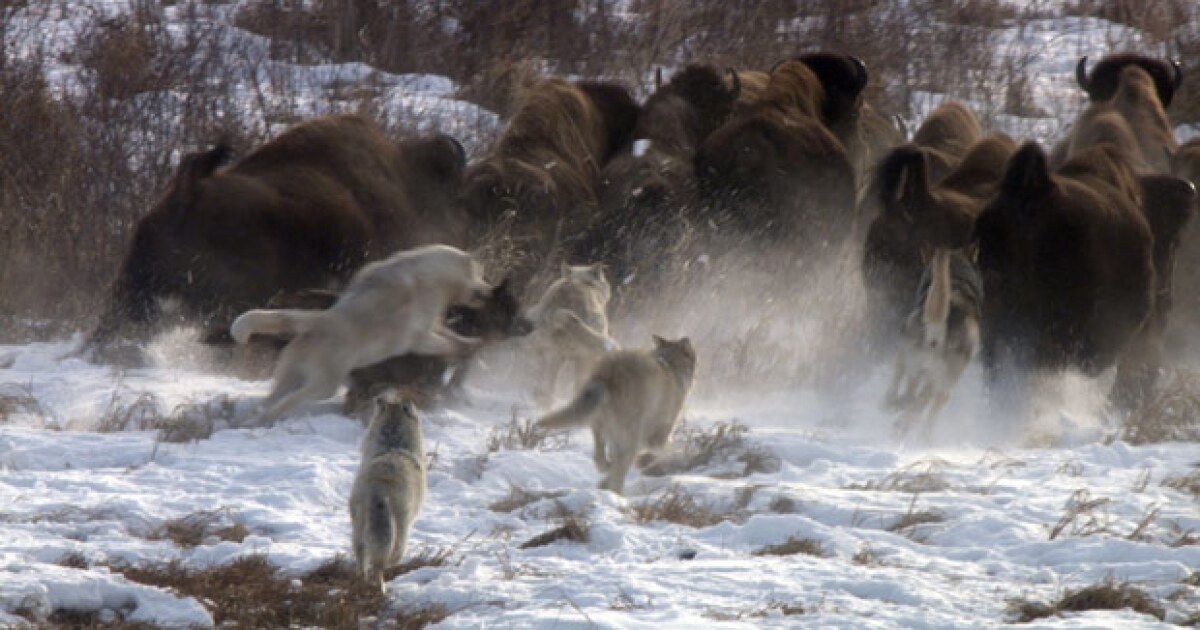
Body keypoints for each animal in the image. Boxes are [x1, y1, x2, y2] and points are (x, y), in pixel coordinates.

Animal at [230, 244, 490, 424]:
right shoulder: (420, 338)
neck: (429, 277)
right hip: (324, 385)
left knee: (270, 399)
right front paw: (466, 350)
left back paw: (245, 420)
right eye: (480, 274)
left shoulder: (434, 327)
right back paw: (260, 422)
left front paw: (473, 346)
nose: (489, 290)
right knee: (286, 403)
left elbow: (456, 339)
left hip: (290, 377)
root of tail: (318, 321)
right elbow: (449, 345)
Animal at [349, 393, 426, 593]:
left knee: (361, 554)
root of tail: (379, 488)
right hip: (400, 530)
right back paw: (380, 587)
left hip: (357, 525)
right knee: (382, 562)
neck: (393, 445)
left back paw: (362, 580)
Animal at [536, 335, 697, 495]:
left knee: (600, 457)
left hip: (599, 424)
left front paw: (603, 482)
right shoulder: (657, 436)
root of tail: (609, 372)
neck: (670, 364)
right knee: (619, 470)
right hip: (630, 435)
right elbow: (667, 447)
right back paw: (617, 497)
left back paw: (606, 474)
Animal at [885, 247, 982, 439]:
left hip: (919, 367)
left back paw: (898, 413)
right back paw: (916, 431)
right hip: (944, 384)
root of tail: (937, 335)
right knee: (922, 407)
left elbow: (898, 380)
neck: (956, 280)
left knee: (911, 395)